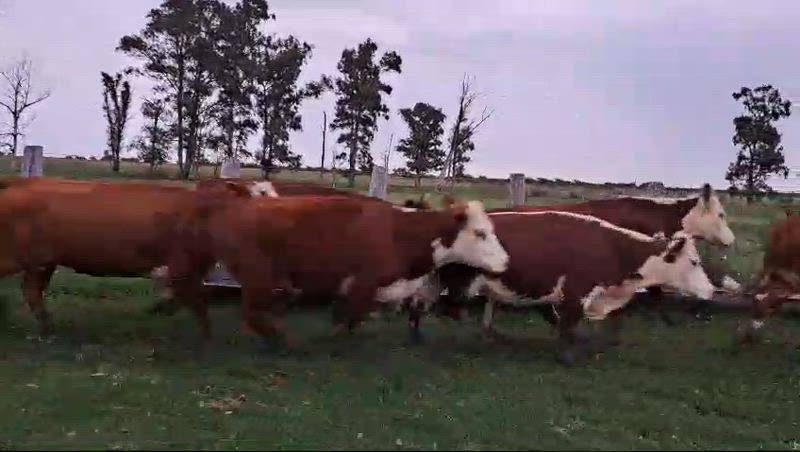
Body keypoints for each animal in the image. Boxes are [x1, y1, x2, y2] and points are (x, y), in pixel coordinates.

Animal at [0, 176, 256, 337]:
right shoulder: (183, 265)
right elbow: (199, 300)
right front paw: (206, 337)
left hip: (43, 263)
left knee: (32, 291)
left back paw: (49, 328)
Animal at [159, 194, 509, 348]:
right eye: (480, 233)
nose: (505, 262)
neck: (400, 232)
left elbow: (352, 315)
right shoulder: (363, 284)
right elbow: (352, 314)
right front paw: (333, 334)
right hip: (258, 276)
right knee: (251, 312)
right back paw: (286, 340)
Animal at [398, 211, 715, 363]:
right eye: (695, 262)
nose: (712, 290)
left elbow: (557, 320)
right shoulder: (576, 294)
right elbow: (567, 326)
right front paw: (569, 357)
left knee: (420, 305)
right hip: (459, 282)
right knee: (445, 307)